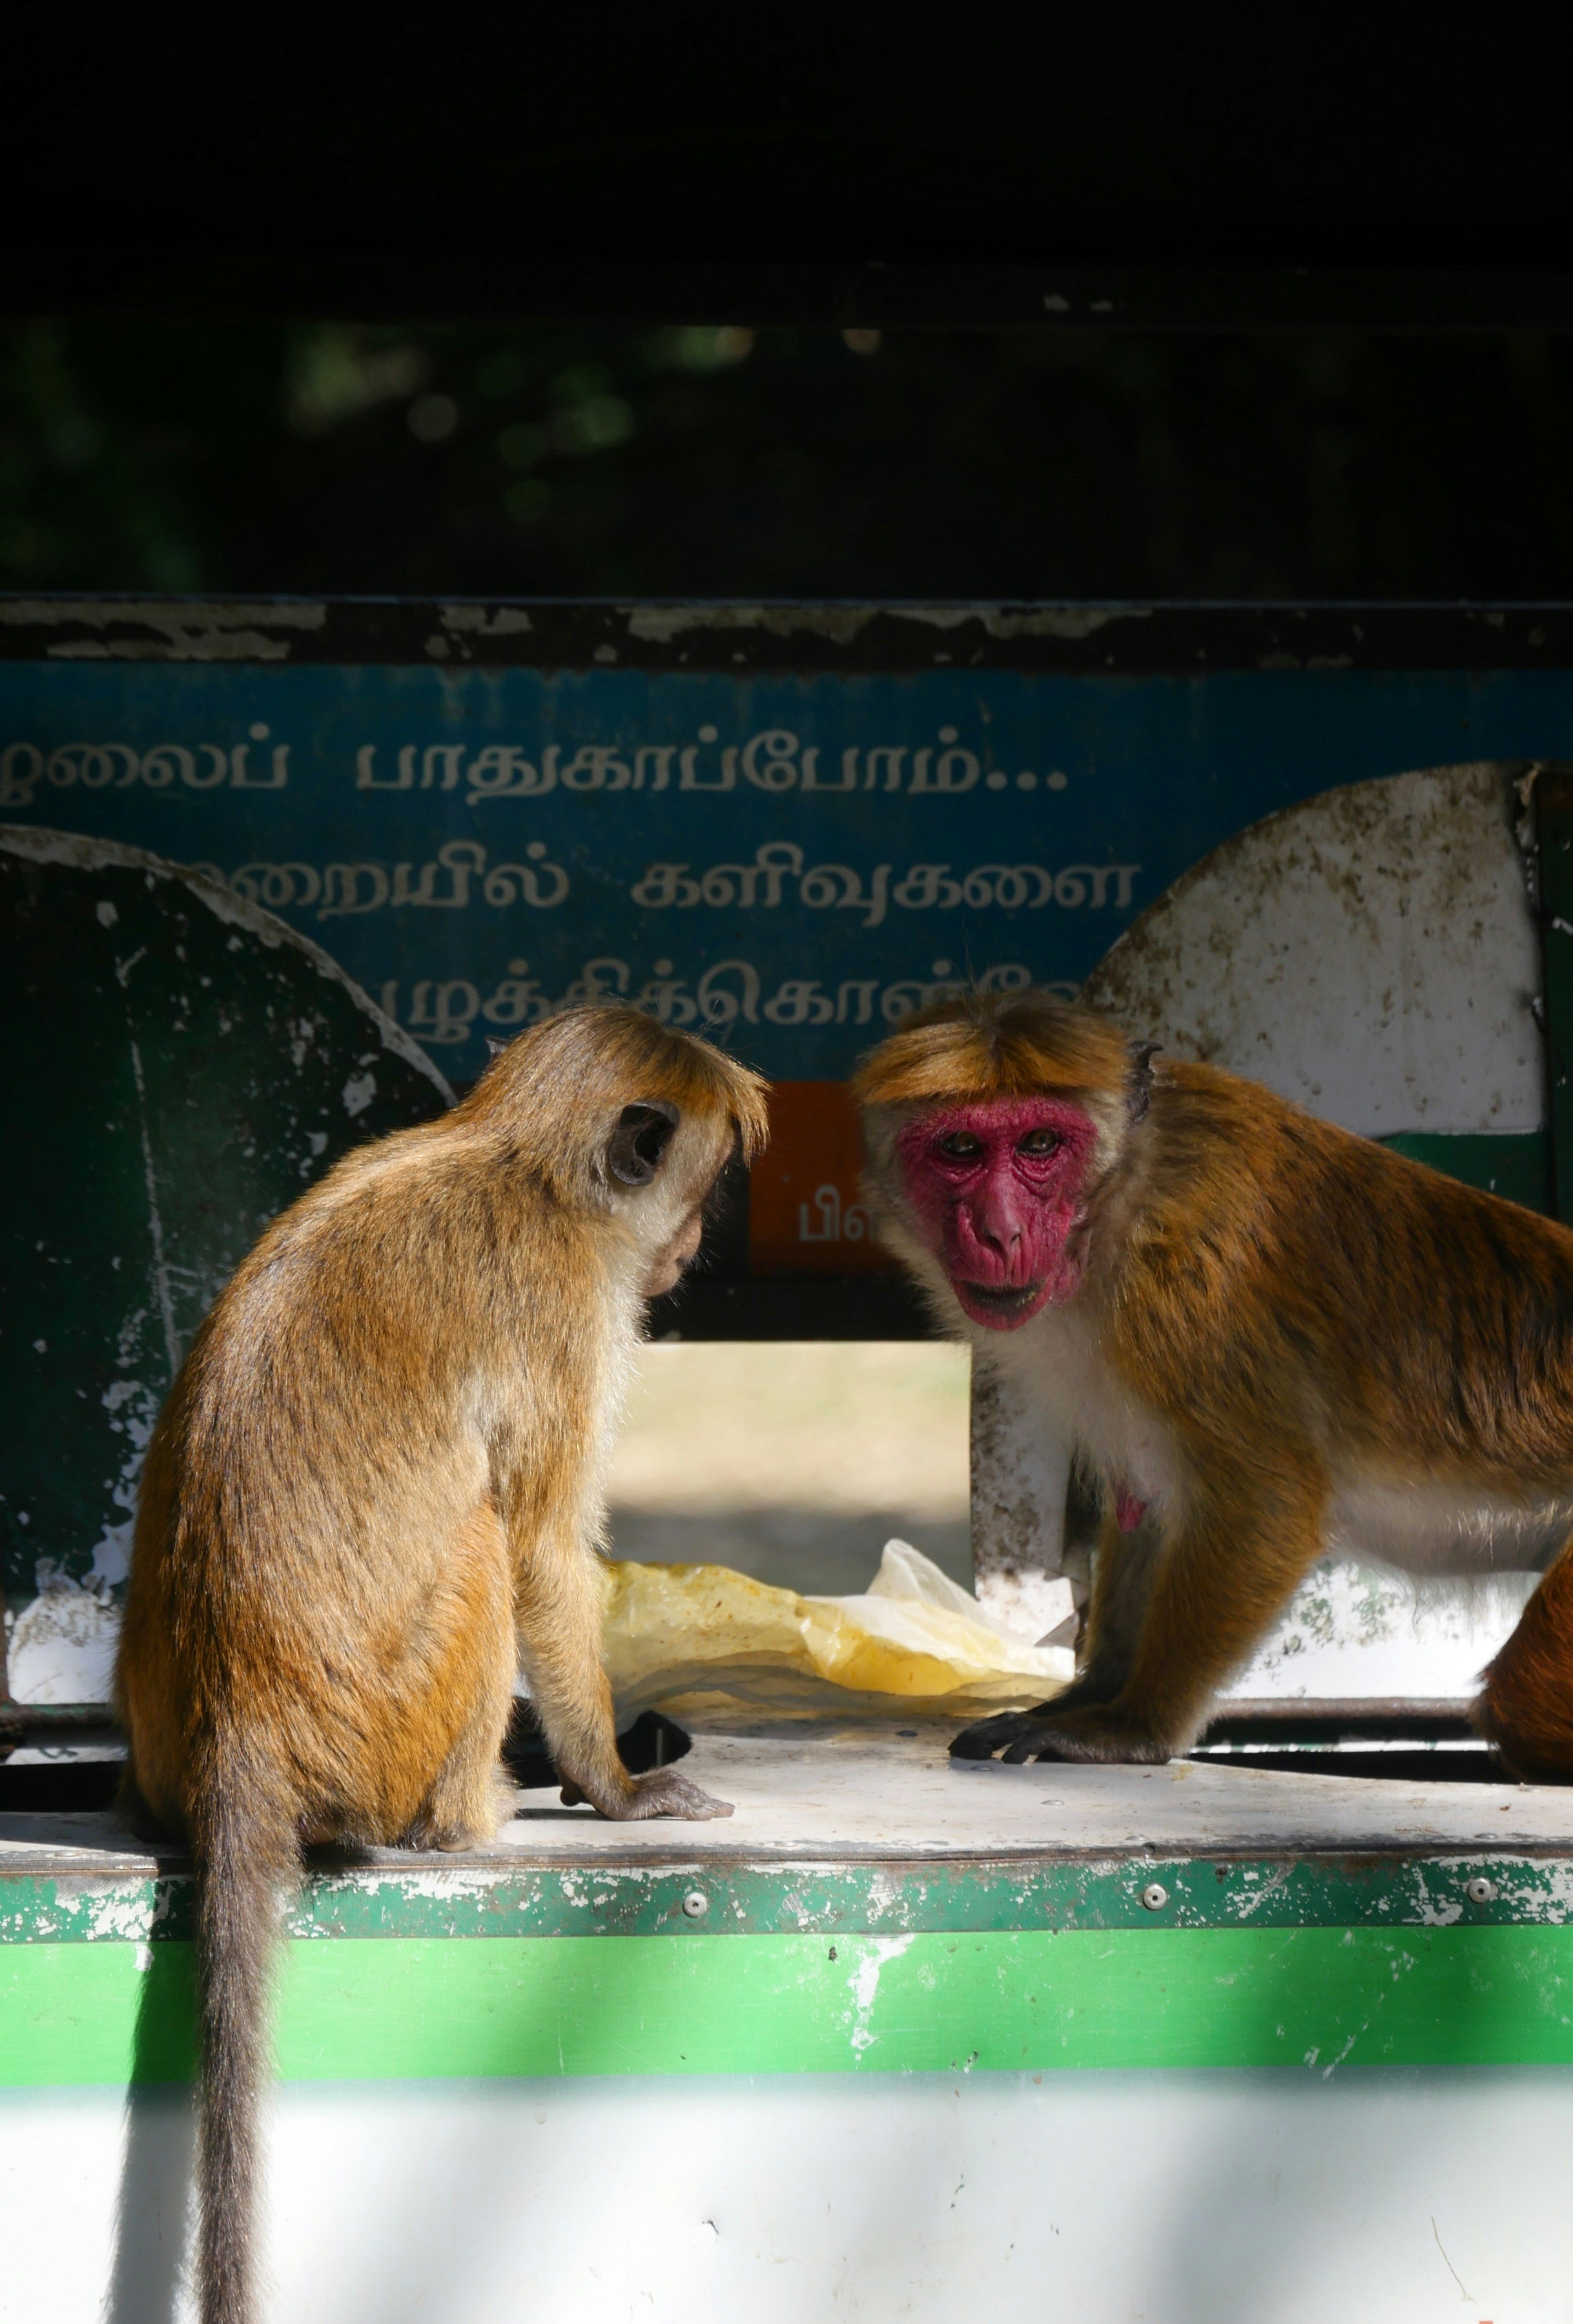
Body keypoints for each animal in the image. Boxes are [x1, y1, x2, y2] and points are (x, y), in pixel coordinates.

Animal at [114, 1004, 768, 2324]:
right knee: (483, 1532)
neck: (516, 1160)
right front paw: (615, 1786)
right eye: (705, 1191)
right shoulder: (565, 1304)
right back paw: (472, 1814)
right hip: (390, 1723)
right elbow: (543, 1542)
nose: (687, 1250)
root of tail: (238, 1717)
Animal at [853, 985, 1573, 1784]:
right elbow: (1145, 1500)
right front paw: (1092, 1691)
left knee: (1521, 1705)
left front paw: (1132, 1725)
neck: (1115, 1202)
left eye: (1040, 1144)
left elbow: (1267, 1498)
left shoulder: (1189, 1283)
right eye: (960, 1149)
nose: (999, 1231)